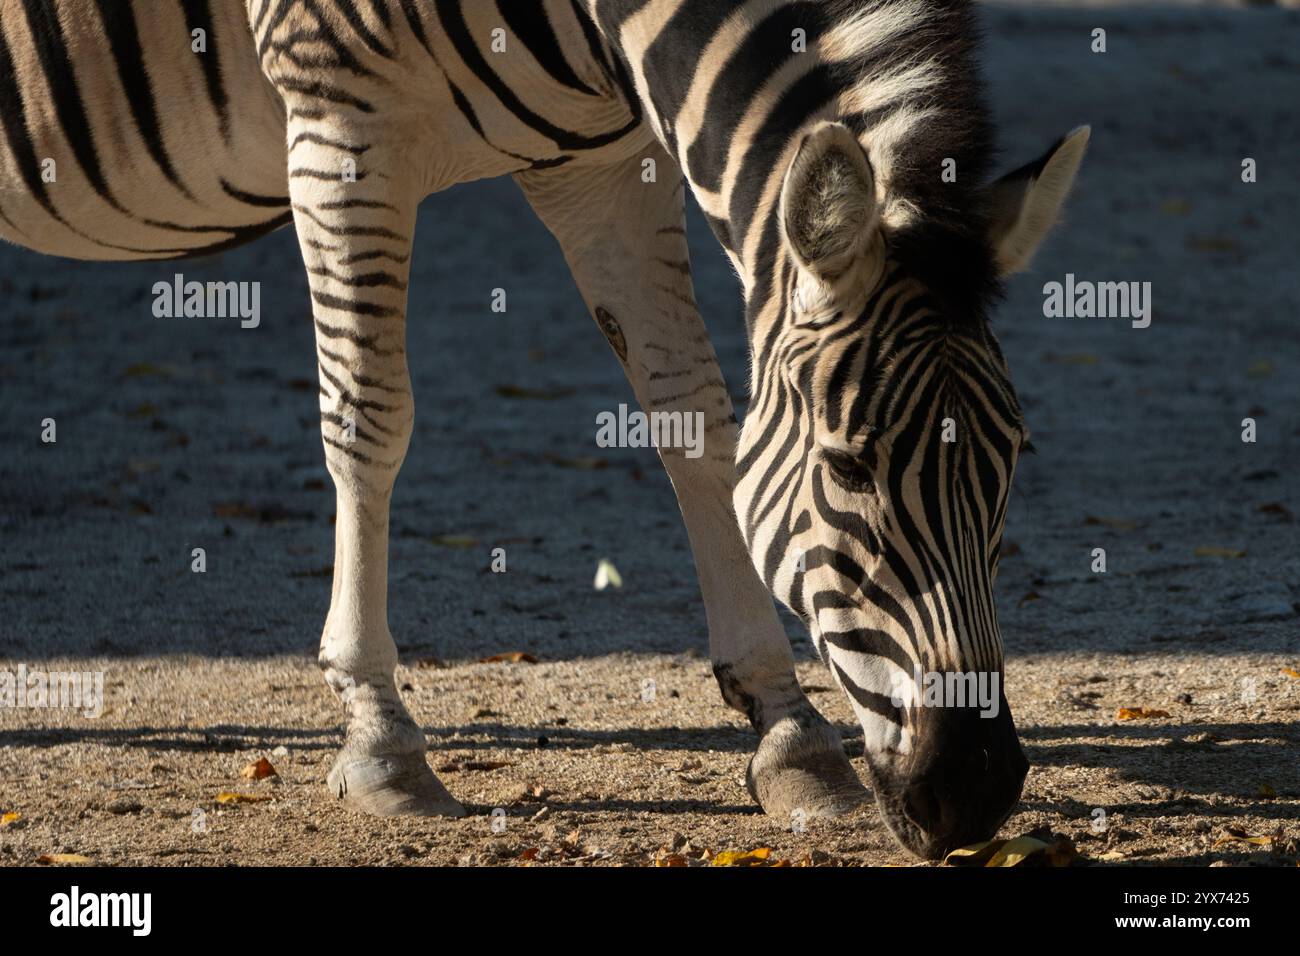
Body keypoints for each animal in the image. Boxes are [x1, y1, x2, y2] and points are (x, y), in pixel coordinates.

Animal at [0, 0, 1088, 858]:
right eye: (848, 465)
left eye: (1014, 459)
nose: (977, 791)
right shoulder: (339, 124)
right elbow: (369, 418)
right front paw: (382, 741)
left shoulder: (604, 160)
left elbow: (694, 415)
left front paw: (788, 730)